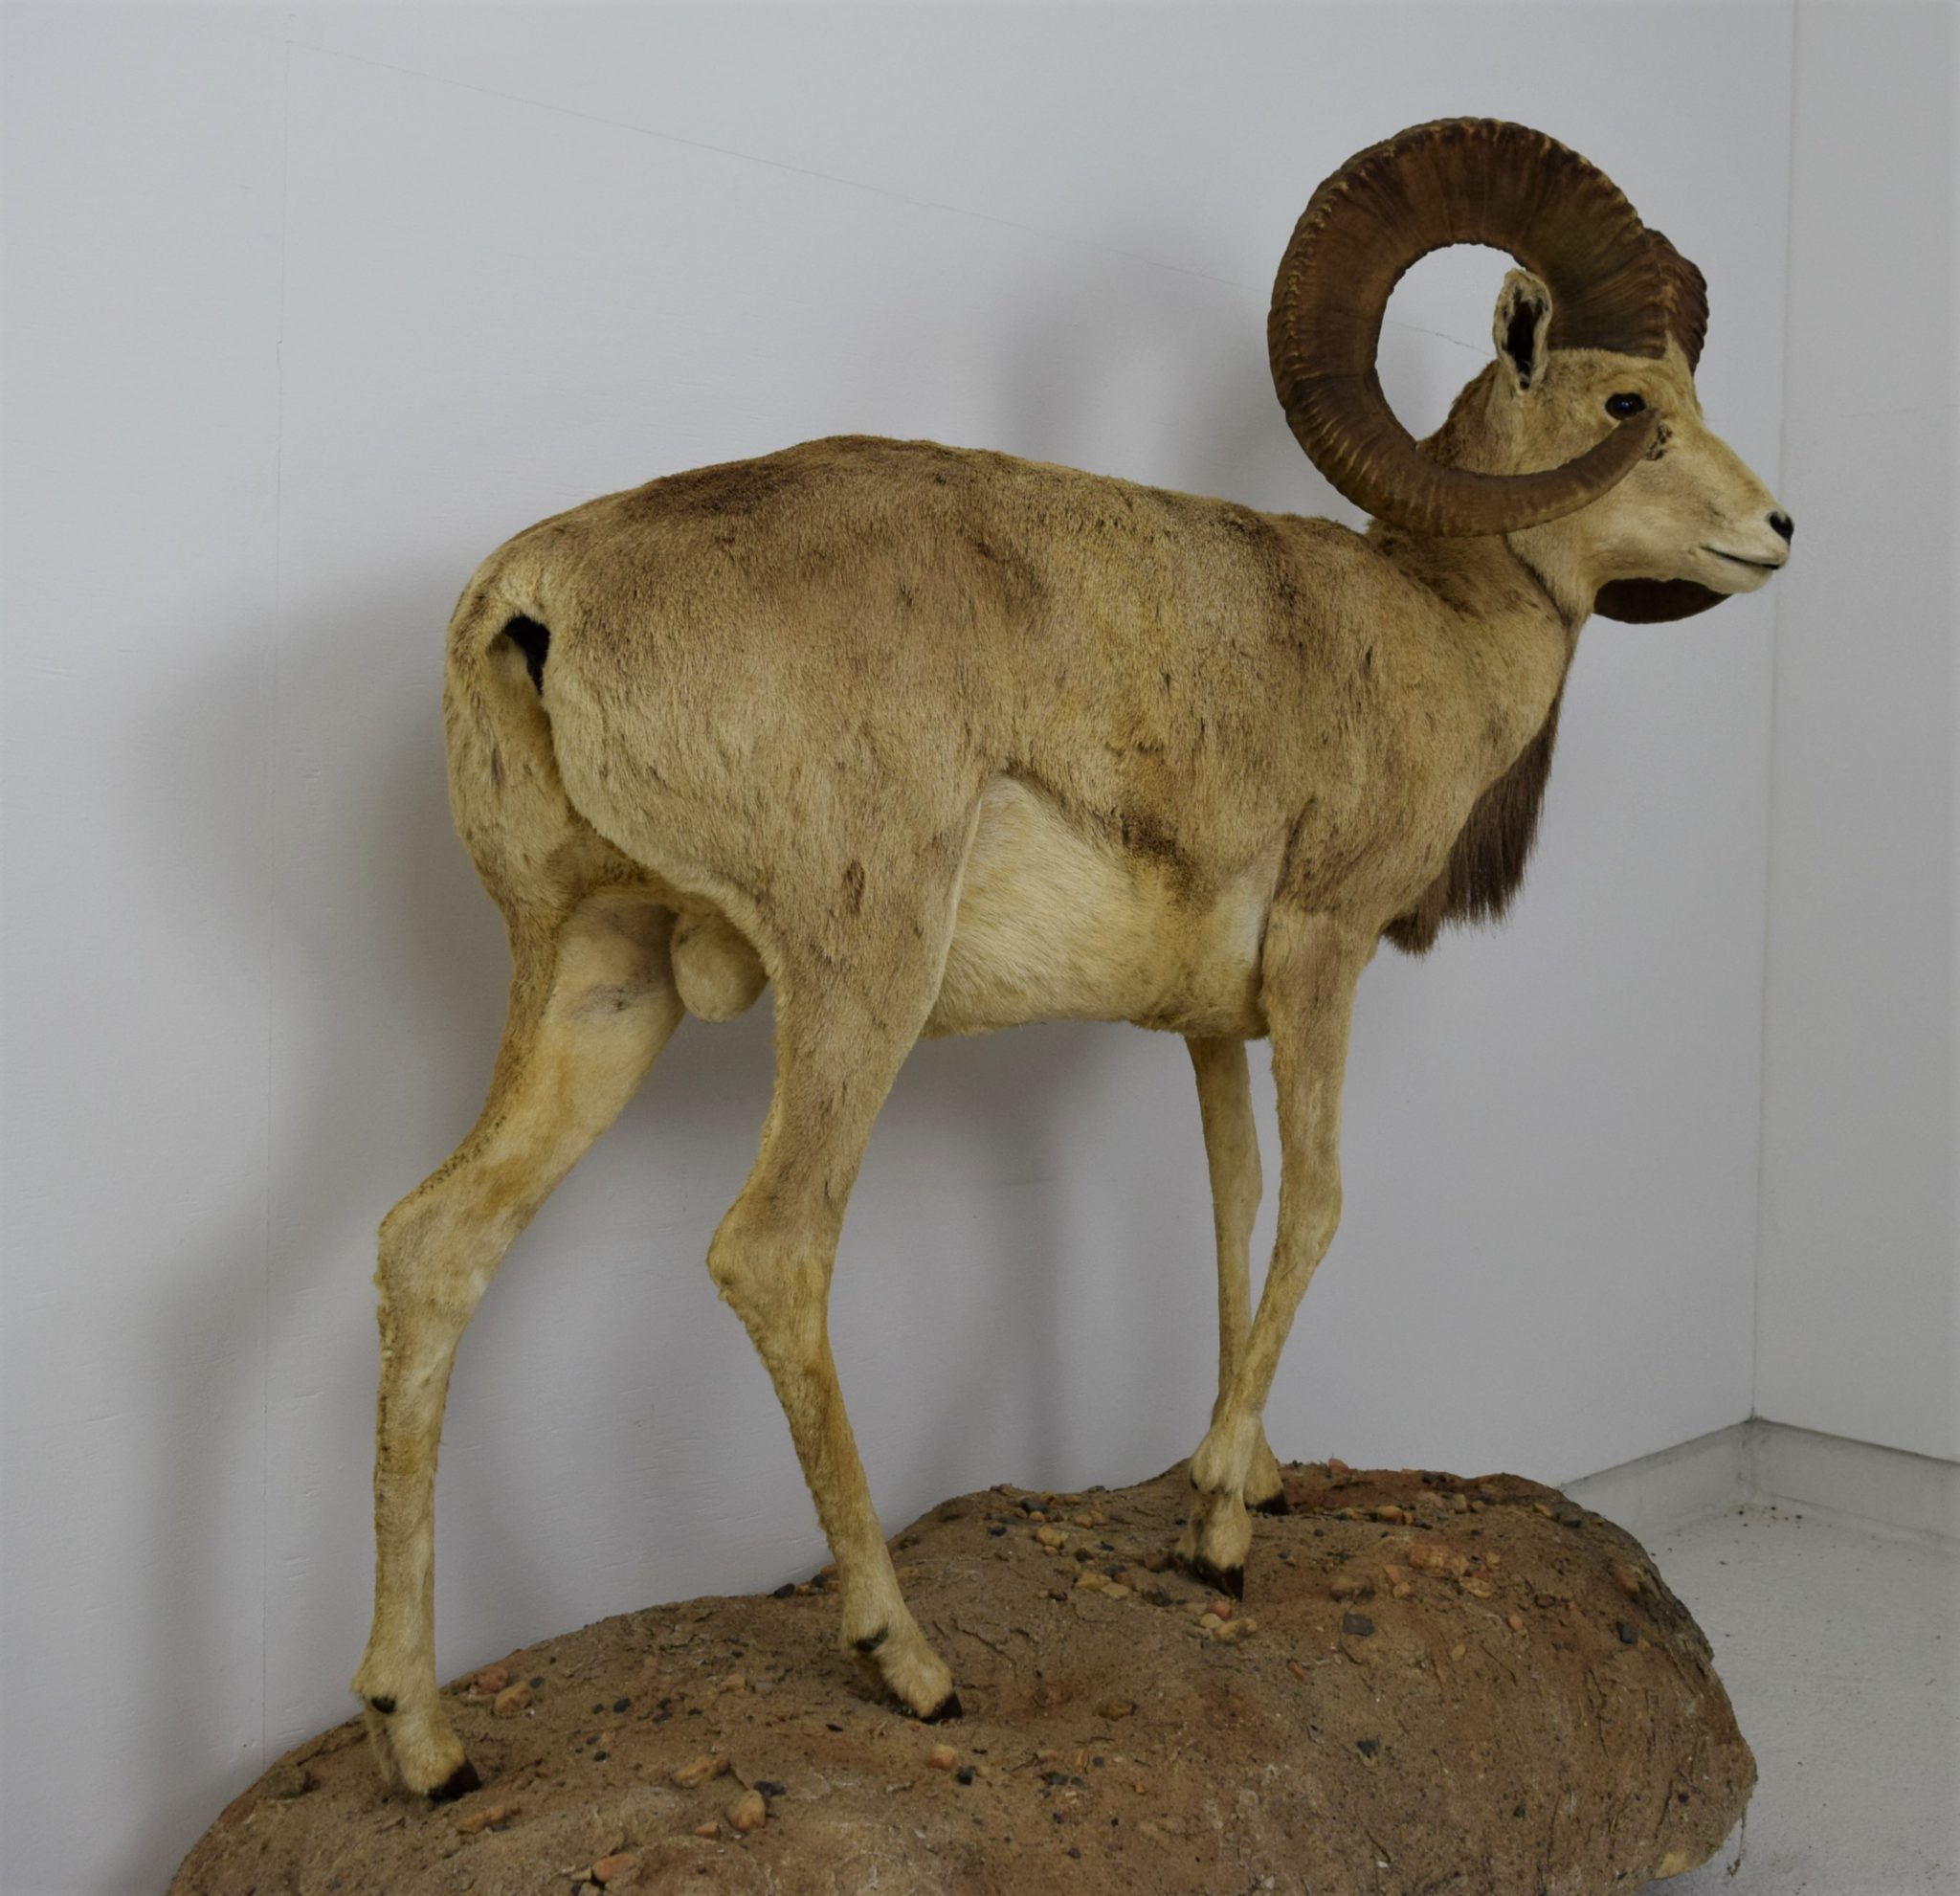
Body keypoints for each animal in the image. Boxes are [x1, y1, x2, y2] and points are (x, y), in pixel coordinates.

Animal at [352, 118, 1792, 1799]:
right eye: (1630, 407)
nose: (1777, 531)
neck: (1409, 627)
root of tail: (535, 598)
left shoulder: (1213, 1032)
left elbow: (1233, 1212)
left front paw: (1252, 1482)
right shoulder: (1323, 963)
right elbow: (1317, 1205)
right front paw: (1220, 1533)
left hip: (597, 979)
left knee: (434, 1245)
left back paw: (424, 1742)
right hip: (857, 985)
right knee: (769, 1249)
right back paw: (909, 1662)